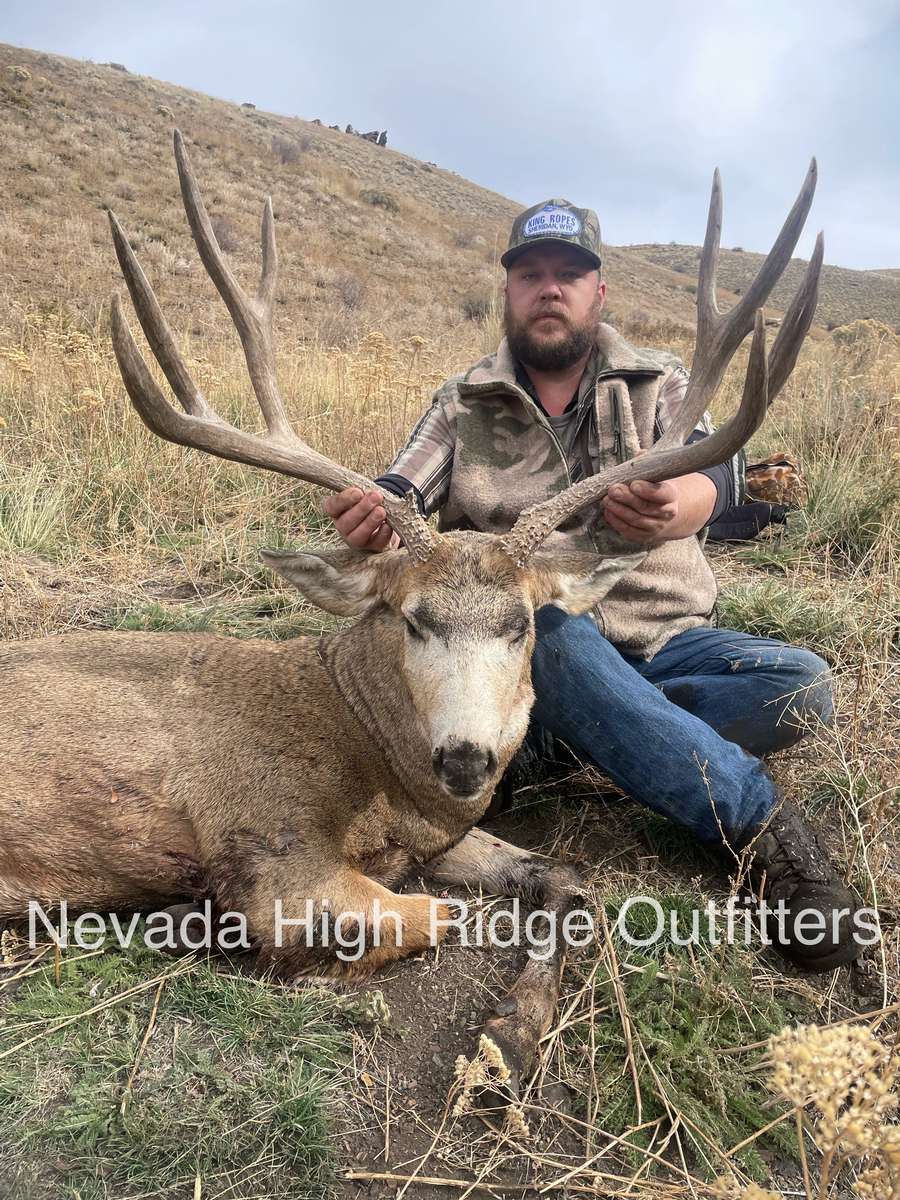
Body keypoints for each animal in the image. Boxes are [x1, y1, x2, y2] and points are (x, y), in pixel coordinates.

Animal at [0, 131, 822, 1098]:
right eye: (410, 618)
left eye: (522, 624)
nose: (465, 758)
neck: (370, 755)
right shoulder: (269, 845)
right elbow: (431, 918)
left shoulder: (445, 832)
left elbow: (568, 879)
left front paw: (514, 1029)